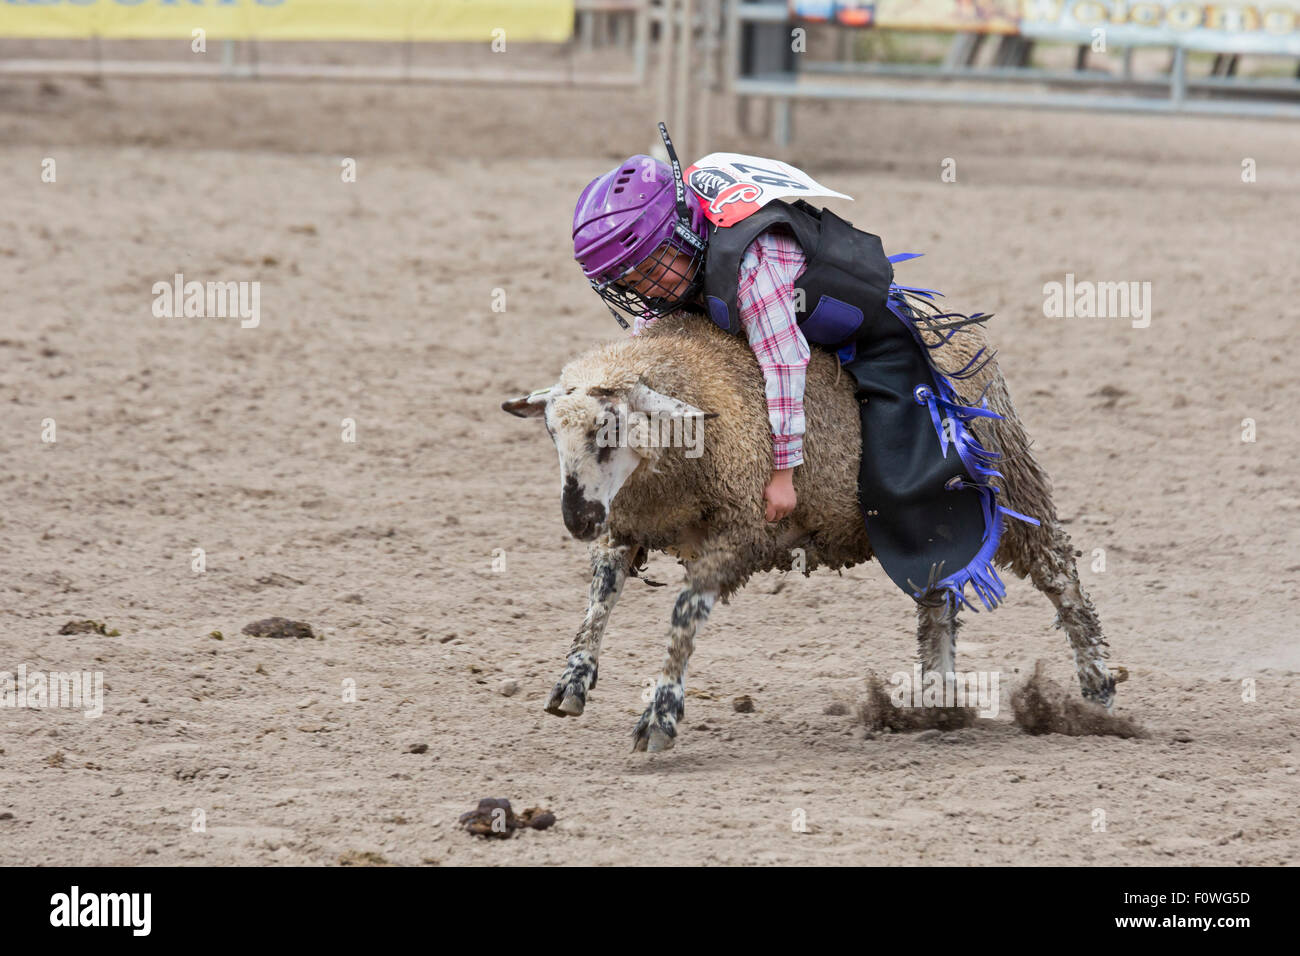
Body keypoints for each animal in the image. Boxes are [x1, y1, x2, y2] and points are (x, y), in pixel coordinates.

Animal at [502, 311, 1114, 752]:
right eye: (553, 434)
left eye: (610, 431)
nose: (576, 519)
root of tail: (964, 339)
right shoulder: (627, 523)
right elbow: (600, 598)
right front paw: (573, 681)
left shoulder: (738, 531)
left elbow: (682, 616)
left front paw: (661, 715)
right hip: (929, 515)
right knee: (939, 593)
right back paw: (938, 698)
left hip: (1009, 486)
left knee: (1058, 569)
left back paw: (1096, 687)